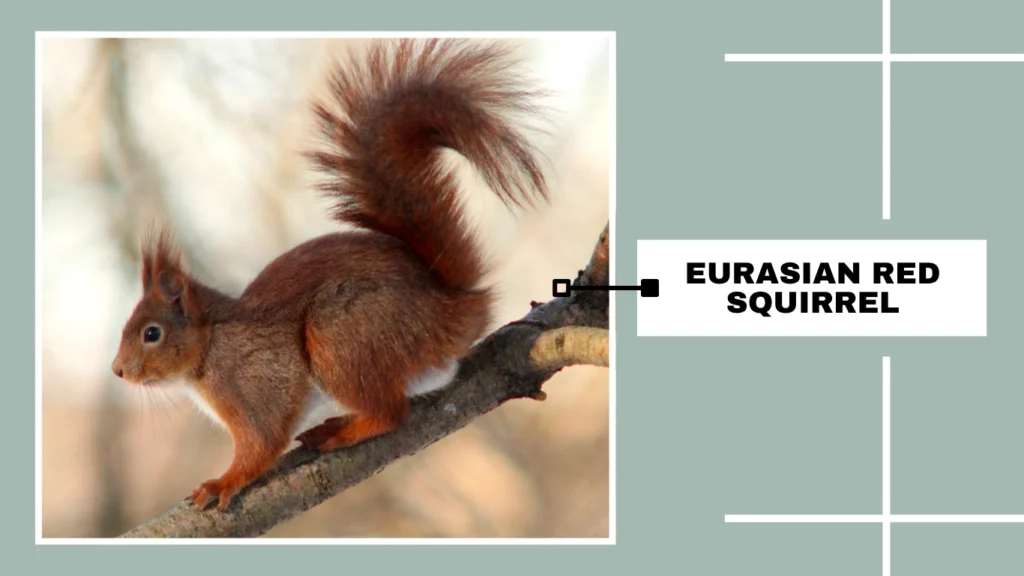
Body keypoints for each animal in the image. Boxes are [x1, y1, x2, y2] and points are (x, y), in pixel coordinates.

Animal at [110, 38, 550, 510]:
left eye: (151, 333)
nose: (118, 371)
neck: (209, 348)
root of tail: (457, 305)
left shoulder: (253, 384)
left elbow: (261, 442)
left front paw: (222, 483)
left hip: (341, 335)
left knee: (391, 413)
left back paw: (343, 432)